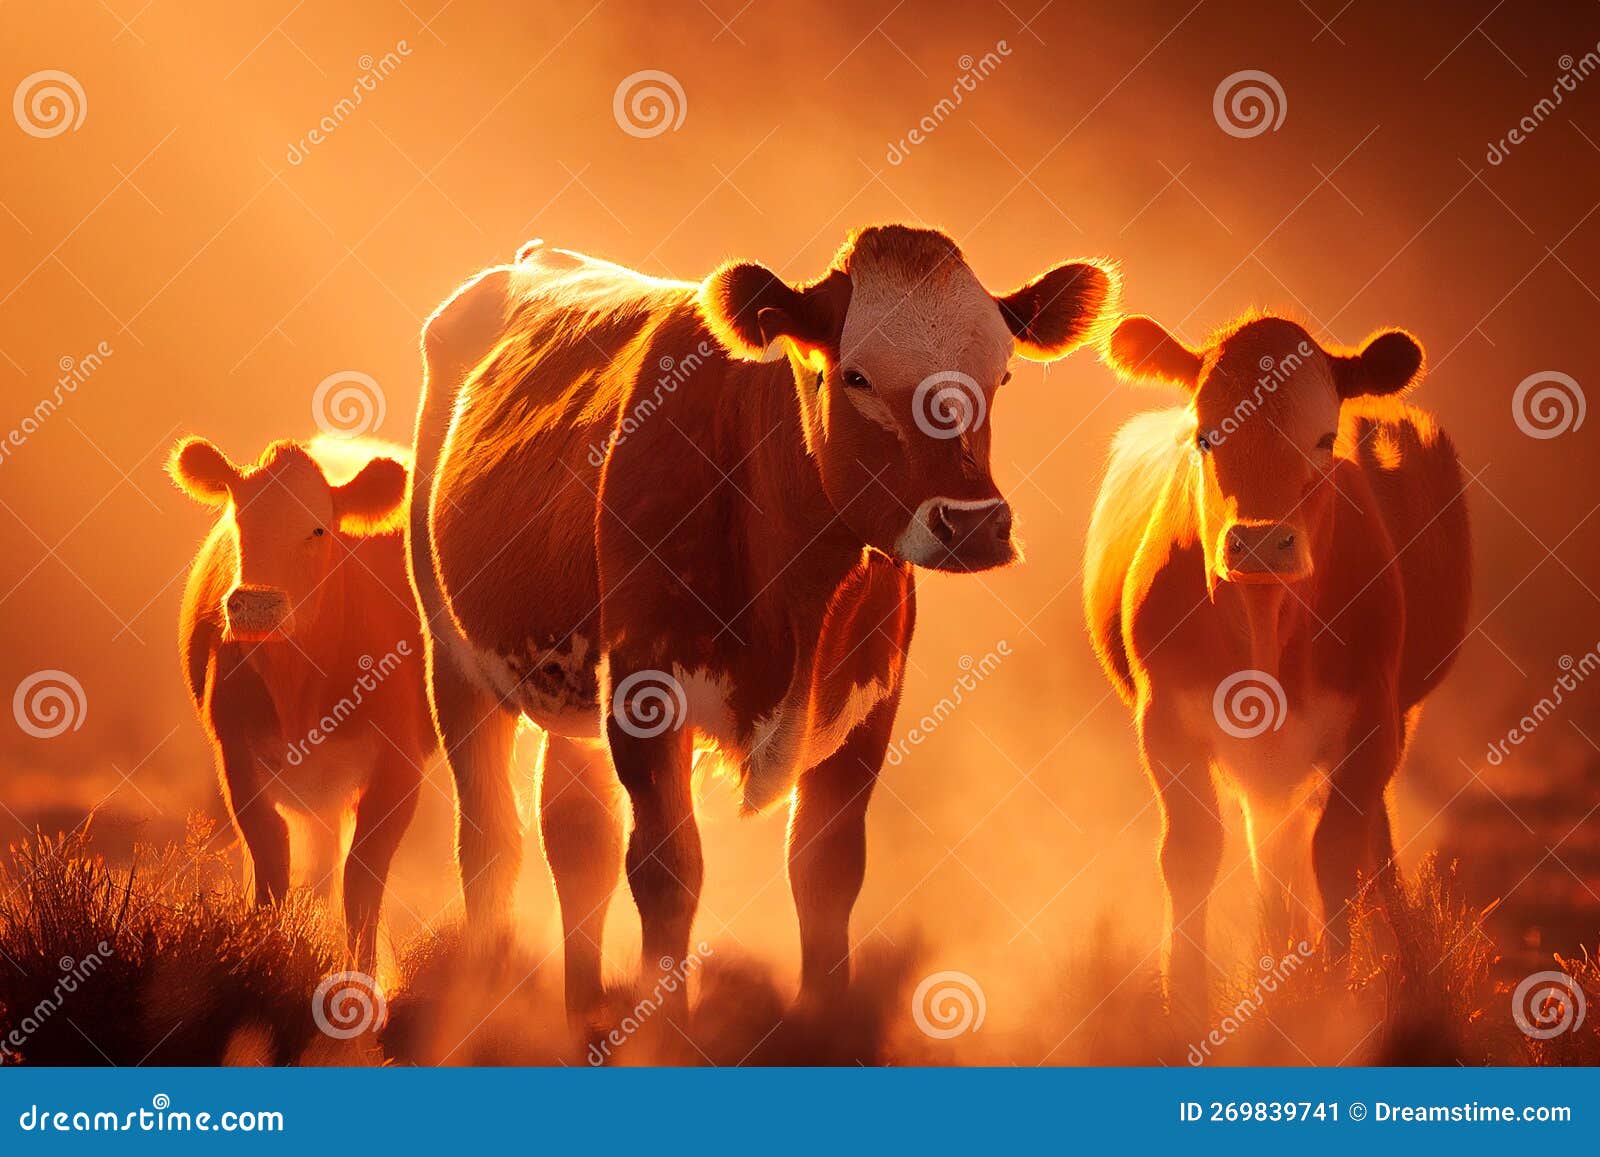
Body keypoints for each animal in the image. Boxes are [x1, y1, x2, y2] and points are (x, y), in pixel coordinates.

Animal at [171, 434, 435, 966]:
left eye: (318, 528)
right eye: (239, 518)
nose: (256, 604)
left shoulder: (400, 765)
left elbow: (362, 881)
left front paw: (360, 976)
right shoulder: (236, 759)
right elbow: (273, 862)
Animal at [409, 226, 1114, 1028]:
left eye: (1000, 376)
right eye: (857, 376)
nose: (972, 524)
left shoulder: (870, 704)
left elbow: (825, 870)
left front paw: (824, 1023)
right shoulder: (645, 692)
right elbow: (667, 869)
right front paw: (667, 1031)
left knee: (577, 839)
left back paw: (581, 1008)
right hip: (453, 658)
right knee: (490, 840)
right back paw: (484, 995)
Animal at [1086, 310, 1470, 1022]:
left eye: (1324, 439)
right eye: (1204, 436)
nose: (1262, 541)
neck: (1264, 628)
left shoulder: (1372, 722)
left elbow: (1337, 854)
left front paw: (1331, 1000)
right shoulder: (1165, 723)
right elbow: (1191, 853)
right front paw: (1185, 1004)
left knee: (1365, 843)